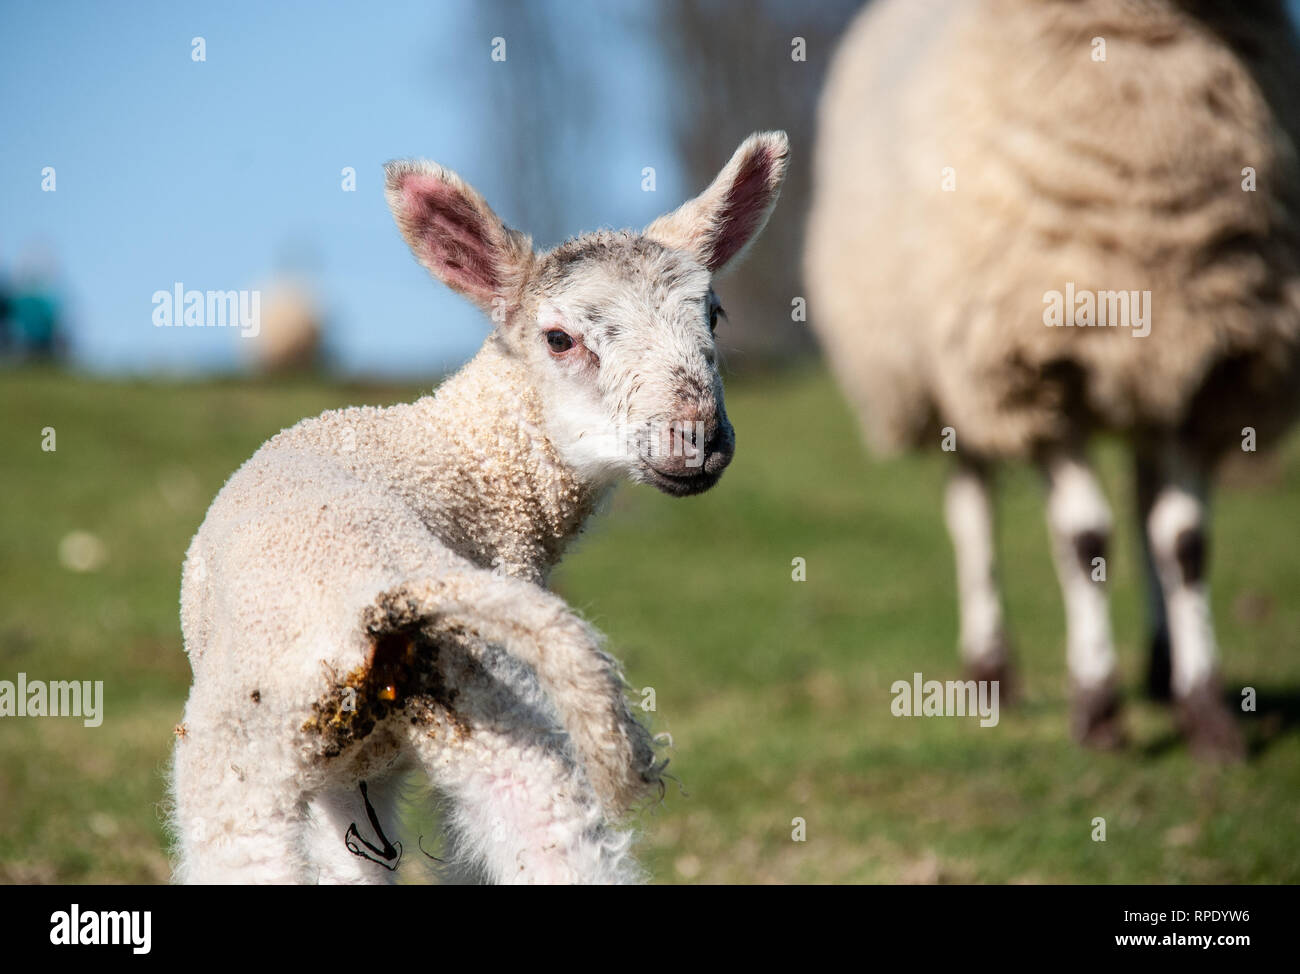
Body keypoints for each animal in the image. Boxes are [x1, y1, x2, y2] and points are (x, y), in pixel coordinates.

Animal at [168, 131, 789, 883]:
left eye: (714, 317)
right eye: (559, 339)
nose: (697, 436)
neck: (469, 454)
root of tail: (391, 588)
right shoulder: (351, 776)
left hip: (256, 757)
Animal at [804, 0, 1300, 759]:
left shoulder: (1209, 367)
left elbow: (1185, 544)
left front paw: (1208, 715)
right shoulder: (1035, 369)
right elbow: (1086, 540)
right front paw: (1097, 710)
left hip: (1145, 373)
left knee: (1146, 498)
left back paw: (1161, 665)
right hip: (954, 377)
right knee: (972, 510)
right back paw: (990, 670)